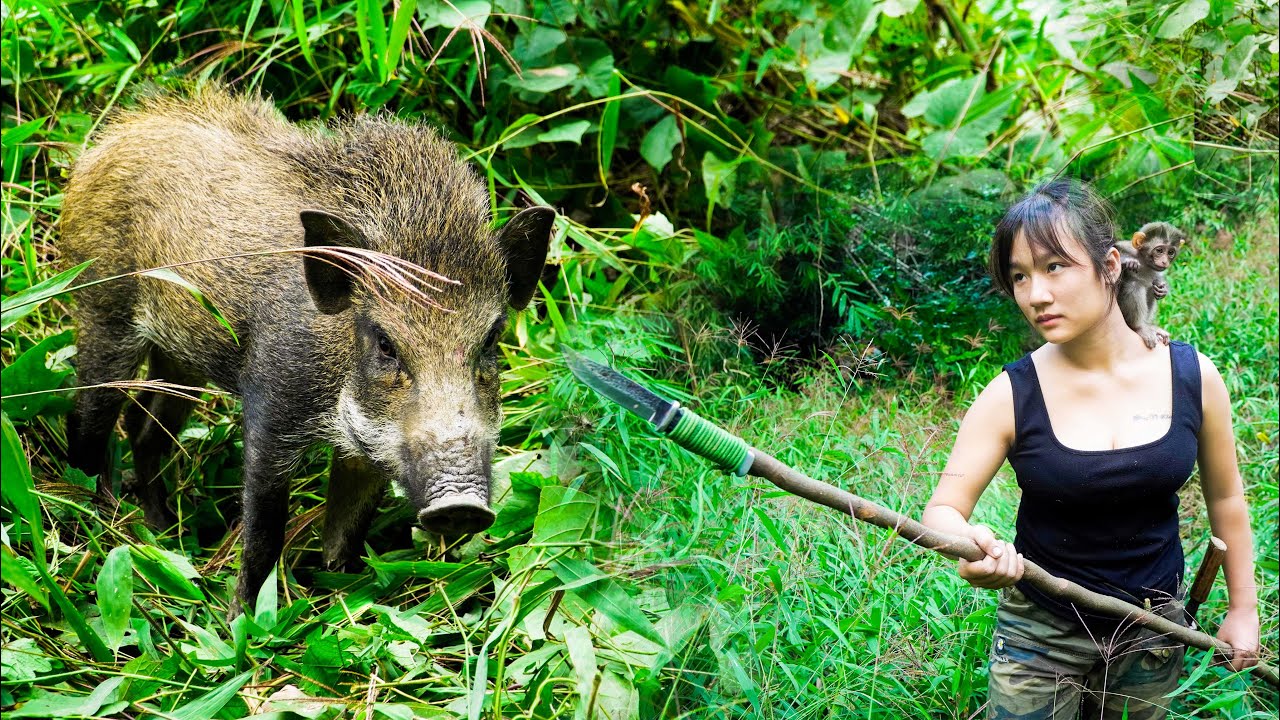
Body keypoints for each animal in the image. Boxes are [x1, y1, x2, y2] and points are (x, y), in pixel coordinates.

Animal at [59, 87, 555, 608]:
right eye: (385, 342)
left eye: (492, 337)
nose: (460, 505)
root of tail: (102, 144)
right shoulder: (271, 407)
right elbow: (263, 533)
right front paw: (244, 617)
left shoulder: (366, 452)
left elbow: (345, 533)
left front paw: (342, 593)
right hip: (103, 306)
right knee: (87, 419)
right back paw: (98, 521)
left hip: (180, 355)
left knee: (144, 429)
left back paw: (160, 533)